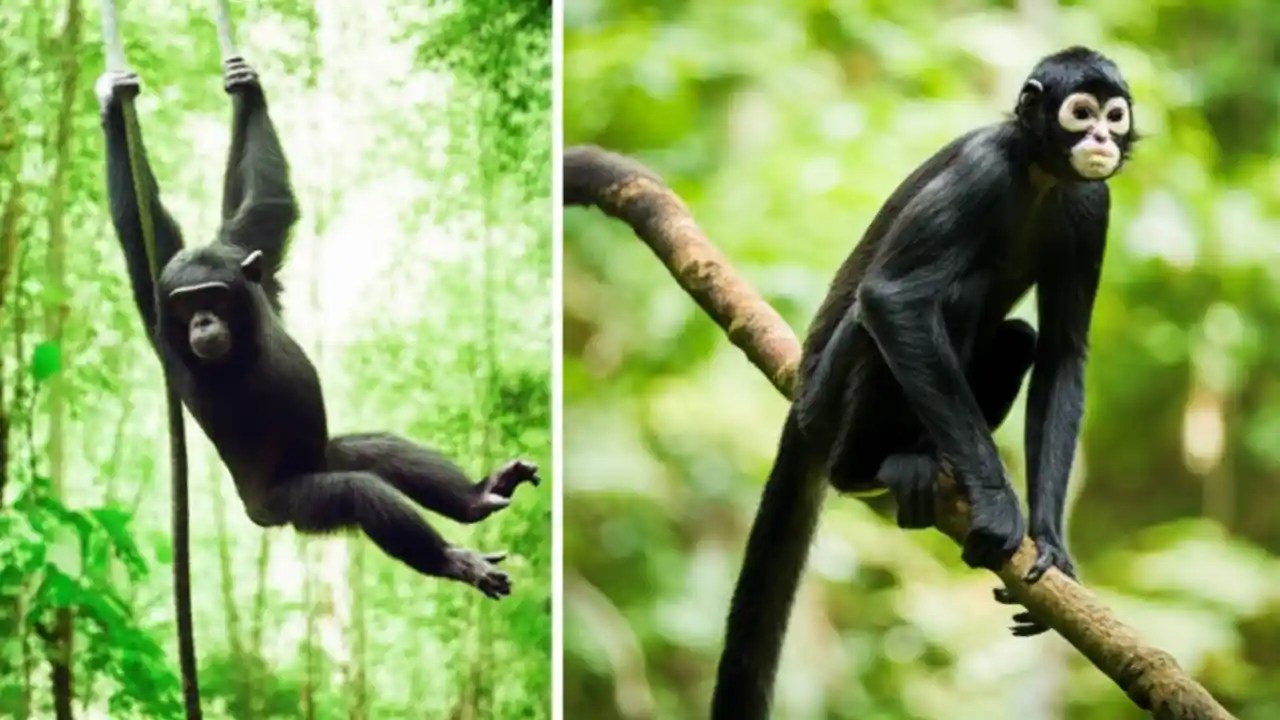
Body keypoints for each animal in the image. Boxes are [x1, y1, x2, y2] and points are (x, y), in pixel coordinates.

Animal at [97, 58, 541, 600]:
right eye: (186, 303)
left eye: (212, 296)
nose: (202, 320)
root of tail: (257, 513)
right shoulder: (161, 317)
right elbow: (139, 241)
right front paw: (112, 104)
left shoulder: (246, 256)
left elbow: (263, 207)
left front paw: (244, 84)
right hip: (294, 504)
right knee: (358, 492)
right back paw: (453, 559)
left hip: (325, 456)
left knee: (379, 451)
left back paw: (478, 495)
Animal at [711, 46, 1135, 718]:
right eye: (1081, 112)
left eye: (1115, 116)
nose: (1101, 139)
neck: (1037, 176)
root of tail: (802, 404)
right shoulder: (981, 172)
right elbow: (893, 299)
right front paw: (997, 506)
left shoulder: (1092, 203)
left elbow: (1063, 355)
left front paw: (1051, 544)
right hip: (833, 393)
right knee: (932, 300)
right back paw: (866, 468)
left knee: (1019, 337)